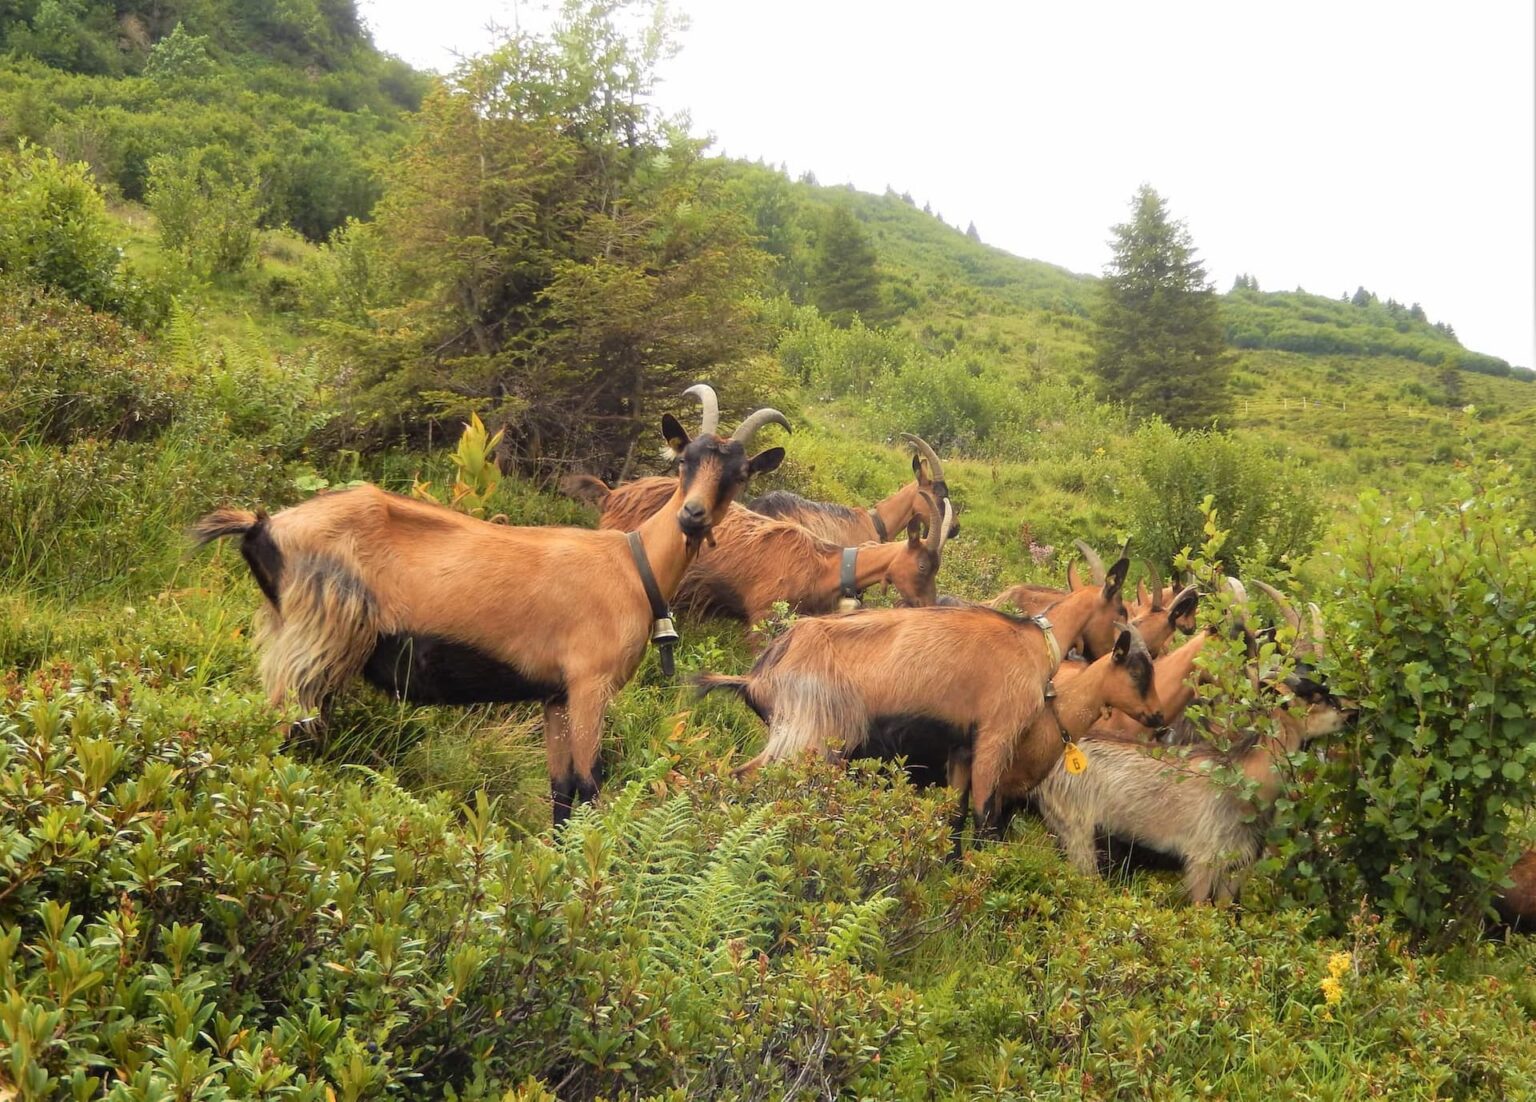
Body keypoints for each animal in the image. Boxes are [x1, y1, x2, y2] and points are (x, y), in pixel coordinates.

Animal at [194, 389, 788, 826]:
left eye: (739, 474)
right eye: (685, 460)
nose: (691, 515)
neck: (630, 565)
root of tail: (264, 526)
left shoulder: (554, 695)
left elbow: (561, 791)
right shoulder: (589, 685)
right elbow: (590, 785)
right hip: (316, 639)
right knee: (281, 729)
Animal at [696, 552, 1149, 835]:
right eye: (1120, 611)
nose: (1155, 719)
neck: (1034, 641)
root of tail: (759, 676)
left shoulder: (961, 748)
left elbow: (954, 817)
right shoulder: (996, 736)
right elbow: (985, 820)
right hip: (808, 737)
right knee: (747, 777)